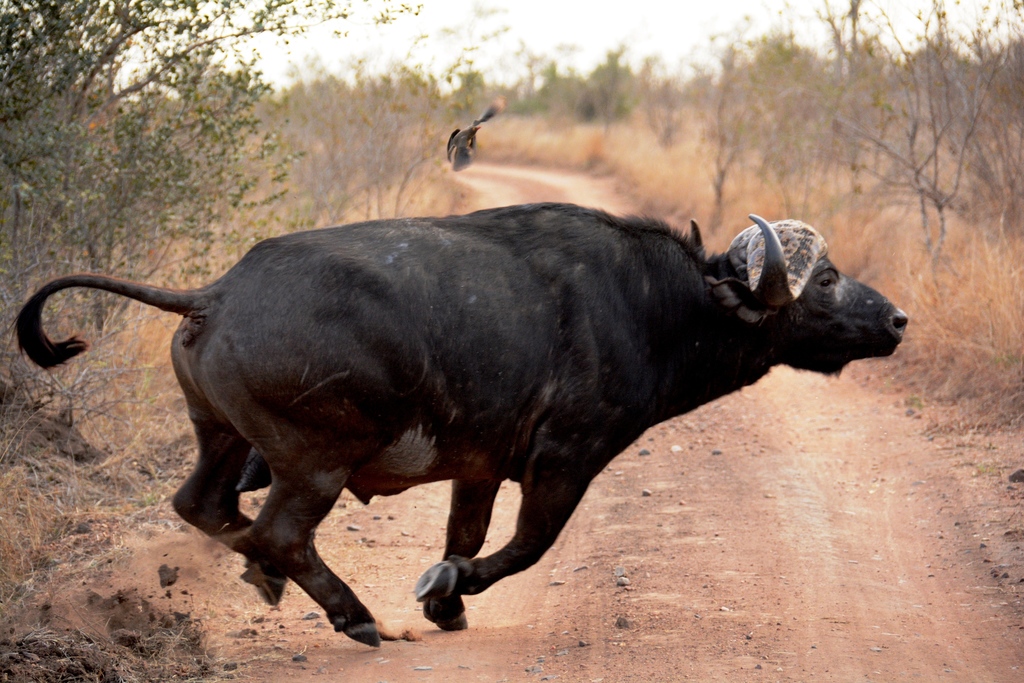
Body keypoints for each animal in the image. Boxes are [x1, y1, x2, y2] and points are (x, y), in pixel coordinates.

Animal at [16, 204, 906, 647]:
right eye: (827, 277)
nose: (897, 319)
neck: (652, 303)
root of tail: (218, 291)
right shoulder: (565, 459)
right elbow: (520, 549)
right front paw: (445, 591)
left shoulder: (478, 464)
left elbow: (467, 535)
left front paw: (447, 601)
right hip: (314, 462)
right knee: (277, 532)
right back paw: (353, 614)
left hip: (222, 437)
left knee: (205, 505)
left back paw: (267, 579)